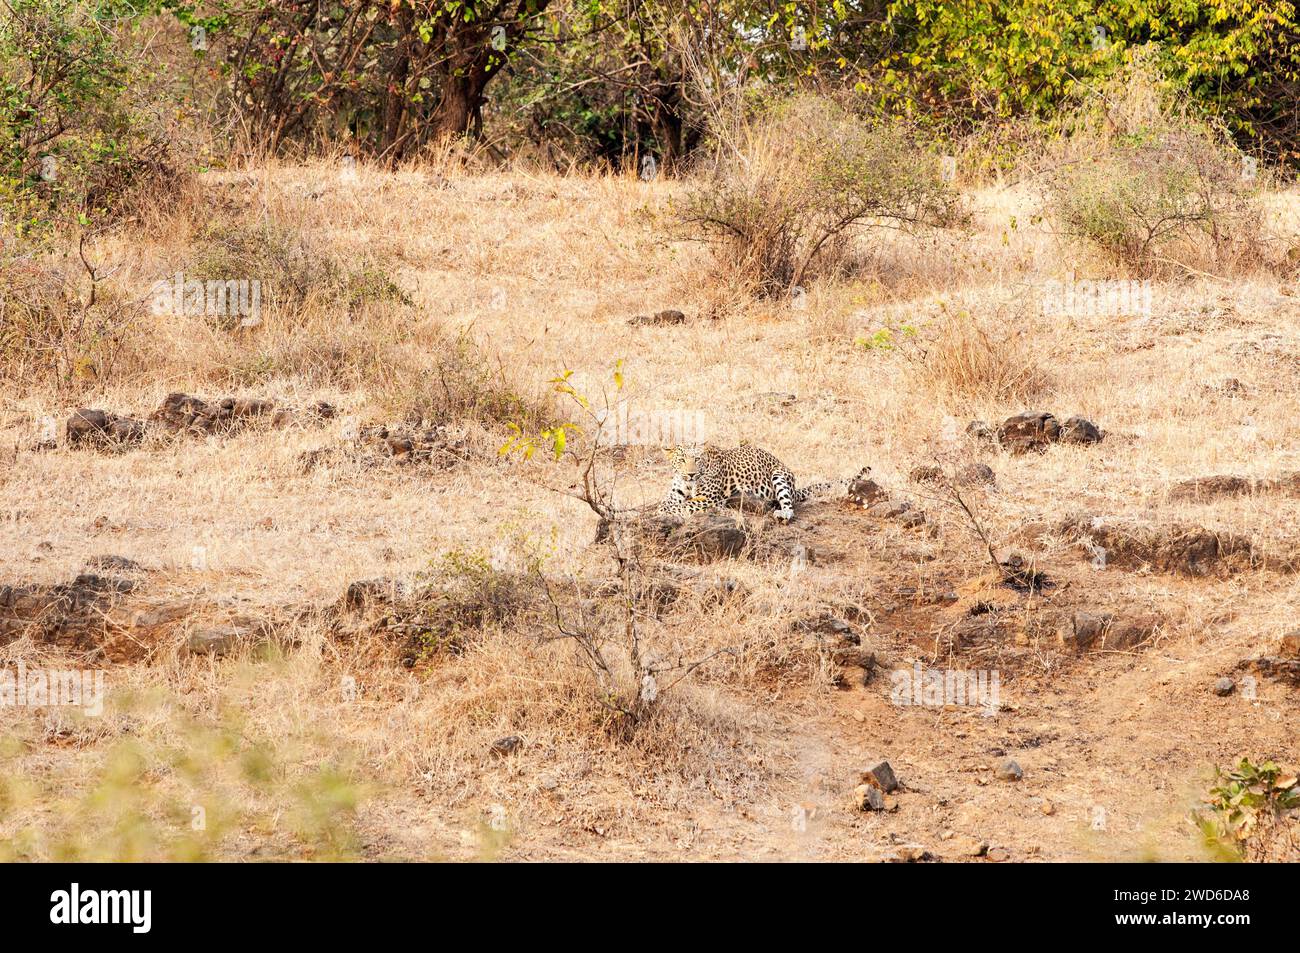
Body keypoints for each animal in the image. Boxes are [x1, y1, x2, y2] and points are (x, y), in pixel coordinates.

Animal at [657, 443, 864, 522]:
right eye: (682, 460)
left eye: (697, 459)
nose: (691, 474)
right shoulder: (675, 494)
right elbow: (667, 503)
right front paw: (661, 509)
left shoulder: (709, 499)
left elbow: (684, 506)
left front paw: (667, 512)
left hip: (779, 475)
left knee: (789, 504)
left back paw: (782, 513)